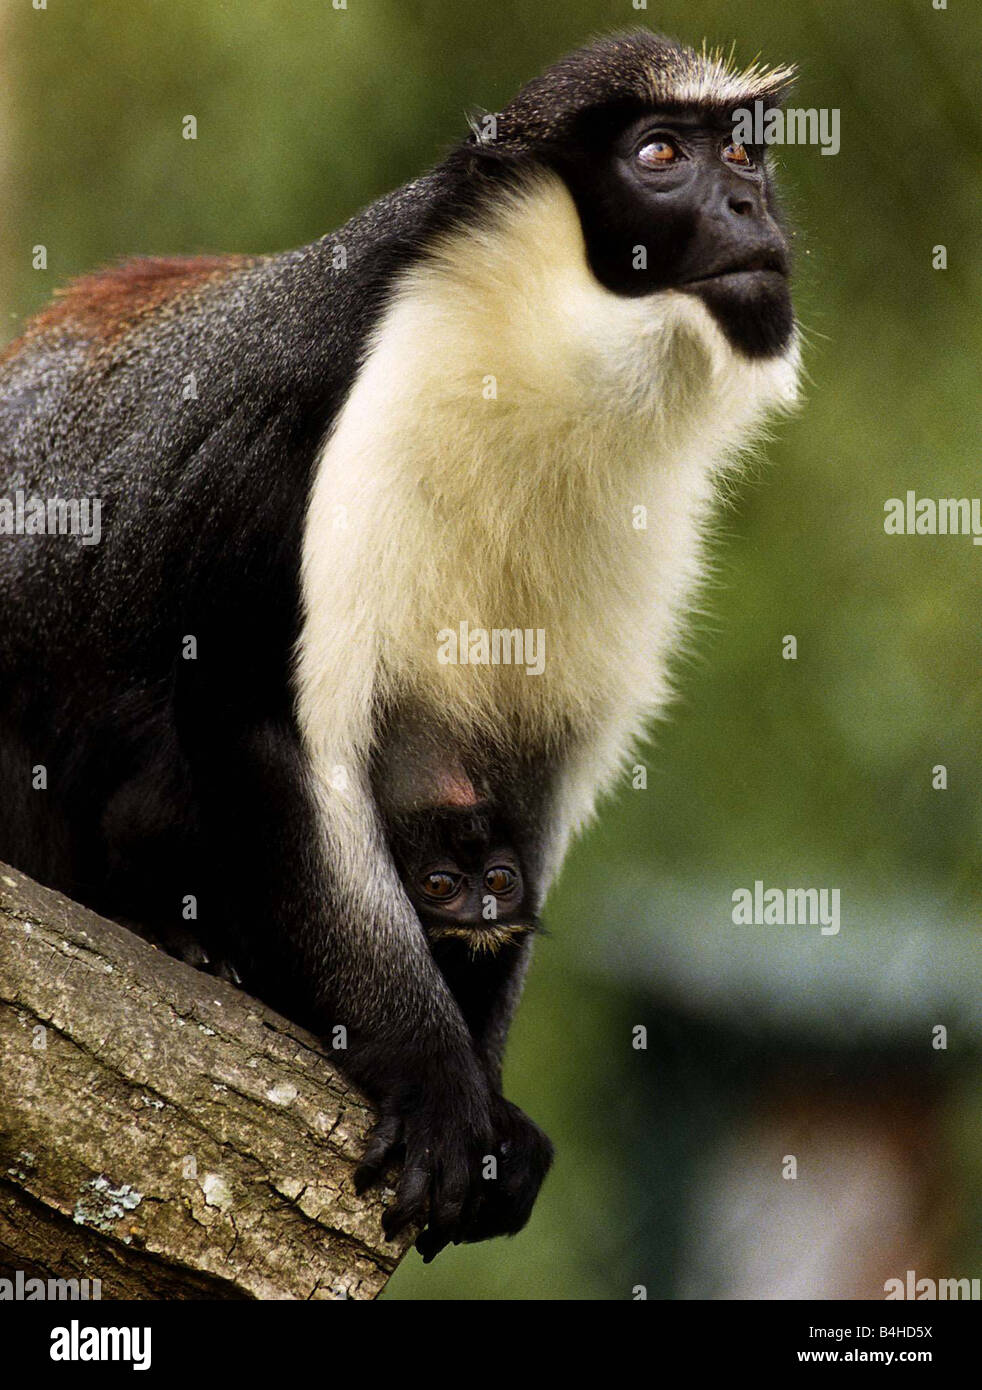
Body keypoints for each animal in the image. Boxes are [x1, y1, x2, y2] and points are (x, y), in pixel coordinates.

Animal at [0, 30, 800, 1261]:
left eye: (746, 152)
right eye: (661, 153)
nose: (751, 203)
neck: (530, 349)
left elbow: (532, 799)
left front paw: (491, 1099)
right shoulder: (319, 440)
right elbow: (273, 735)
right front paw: (434, 1085)